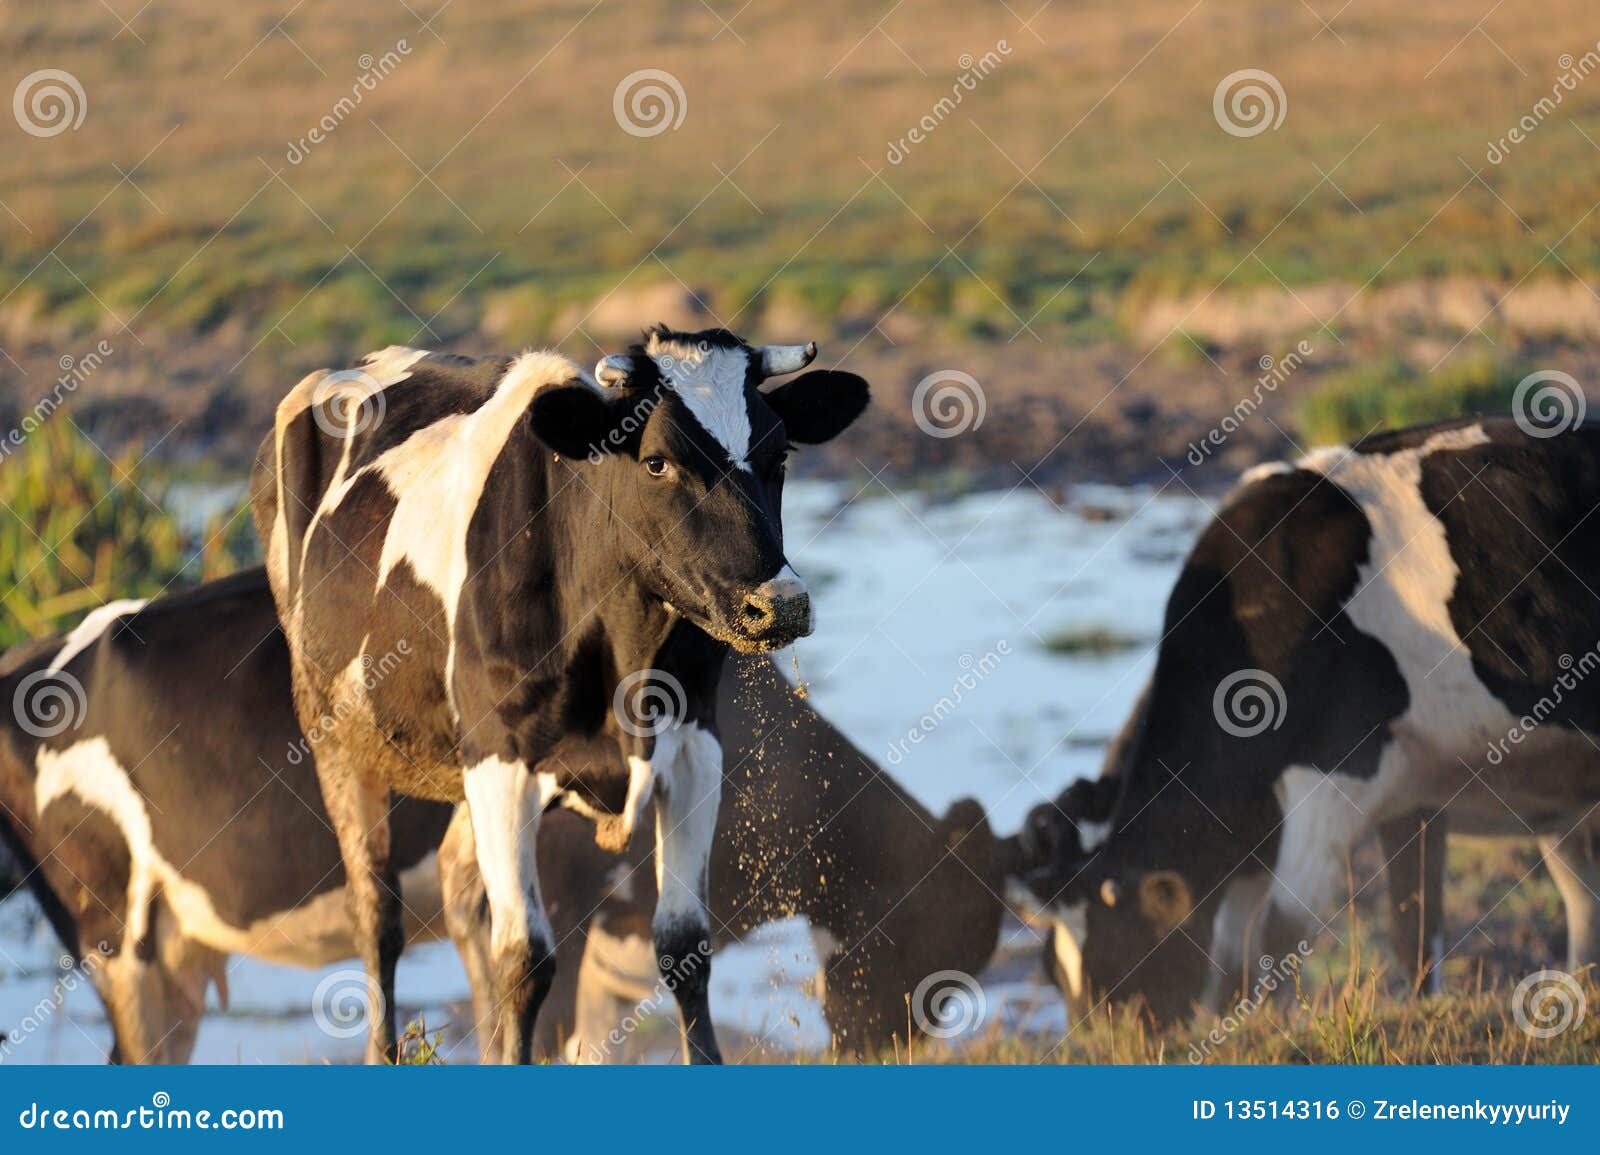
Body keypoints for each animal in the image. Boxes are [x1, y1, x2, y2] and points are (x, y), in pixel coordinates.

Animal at [250, 331, 868, 1062]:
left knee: (462, 894)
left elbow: (684, 946)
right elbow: (524, 960)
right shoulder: (501, 761)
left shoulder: (697, 748)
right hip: (340, 738)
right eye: (657, 461)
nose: (779, 604)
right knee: (378, 915)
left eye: (779, 456)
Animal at [1019, 418, 1600, 1023]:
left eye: (1120, 952)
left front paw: (1268, 1028)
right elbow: (1404, 933)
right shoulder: (1412, 799)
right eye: (1054, 972)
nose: (1106, 1040)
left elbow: (1281, 929)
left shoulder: (1333, 775)